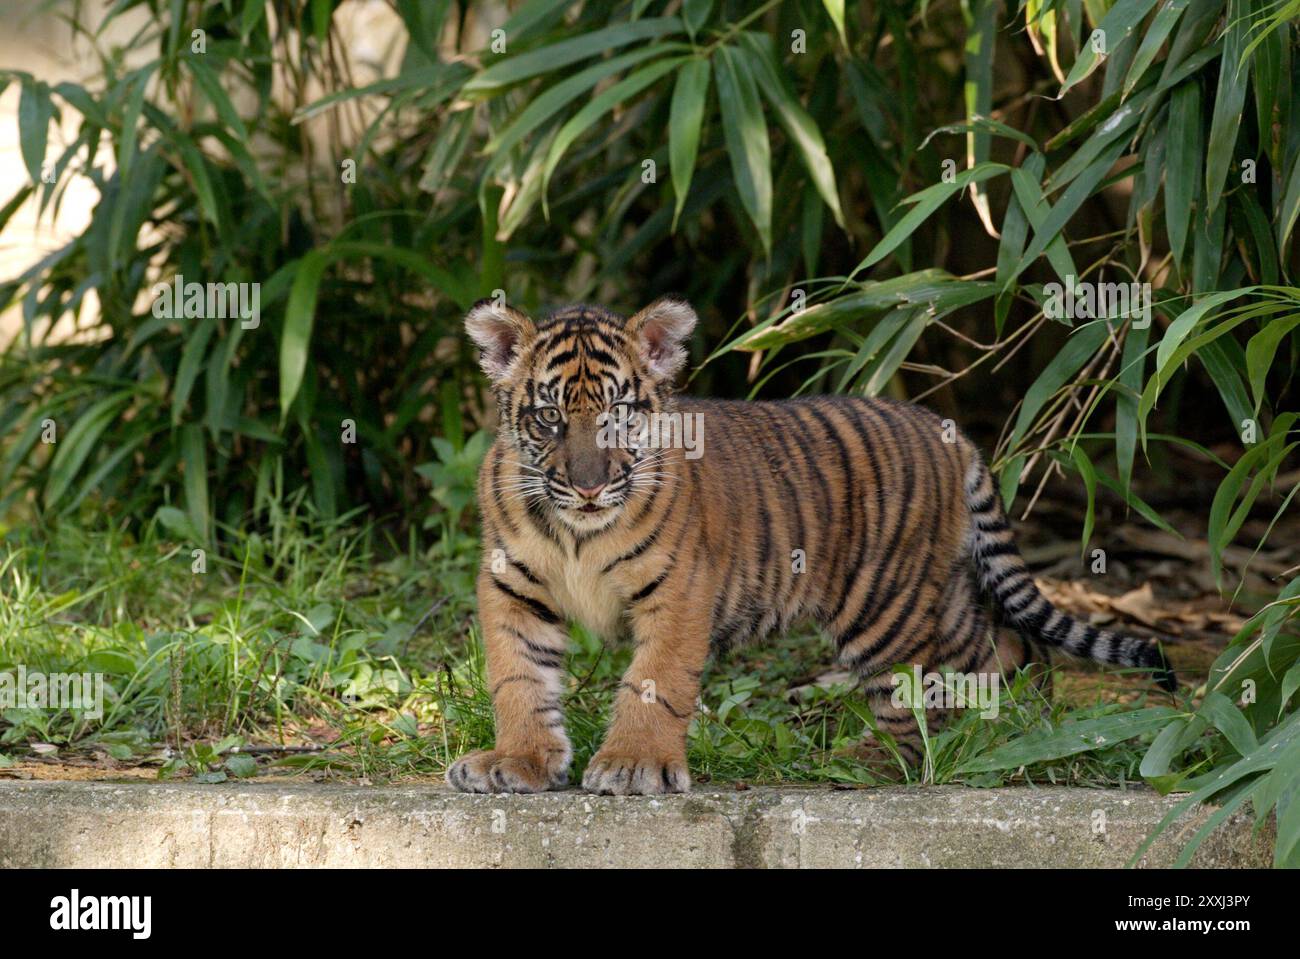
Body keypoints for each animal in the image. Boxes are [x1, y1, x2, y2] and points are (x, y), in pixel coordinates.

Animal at [446, 297, 1175, 795]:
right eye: (549, 418)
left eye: (619, 416)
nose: (590, 487)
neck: (579, 533)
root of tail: (945, 429)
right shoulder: (512, 584)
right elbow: (518, 677)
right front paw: (518, 761)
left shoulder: (678, 587)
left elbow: (656, 679)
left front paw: (633, 764)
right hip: (929, 598)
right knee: (998, 650)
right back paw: (1016, 726)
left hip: (883, 604)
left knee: (915, 692)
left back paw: (873, 760)